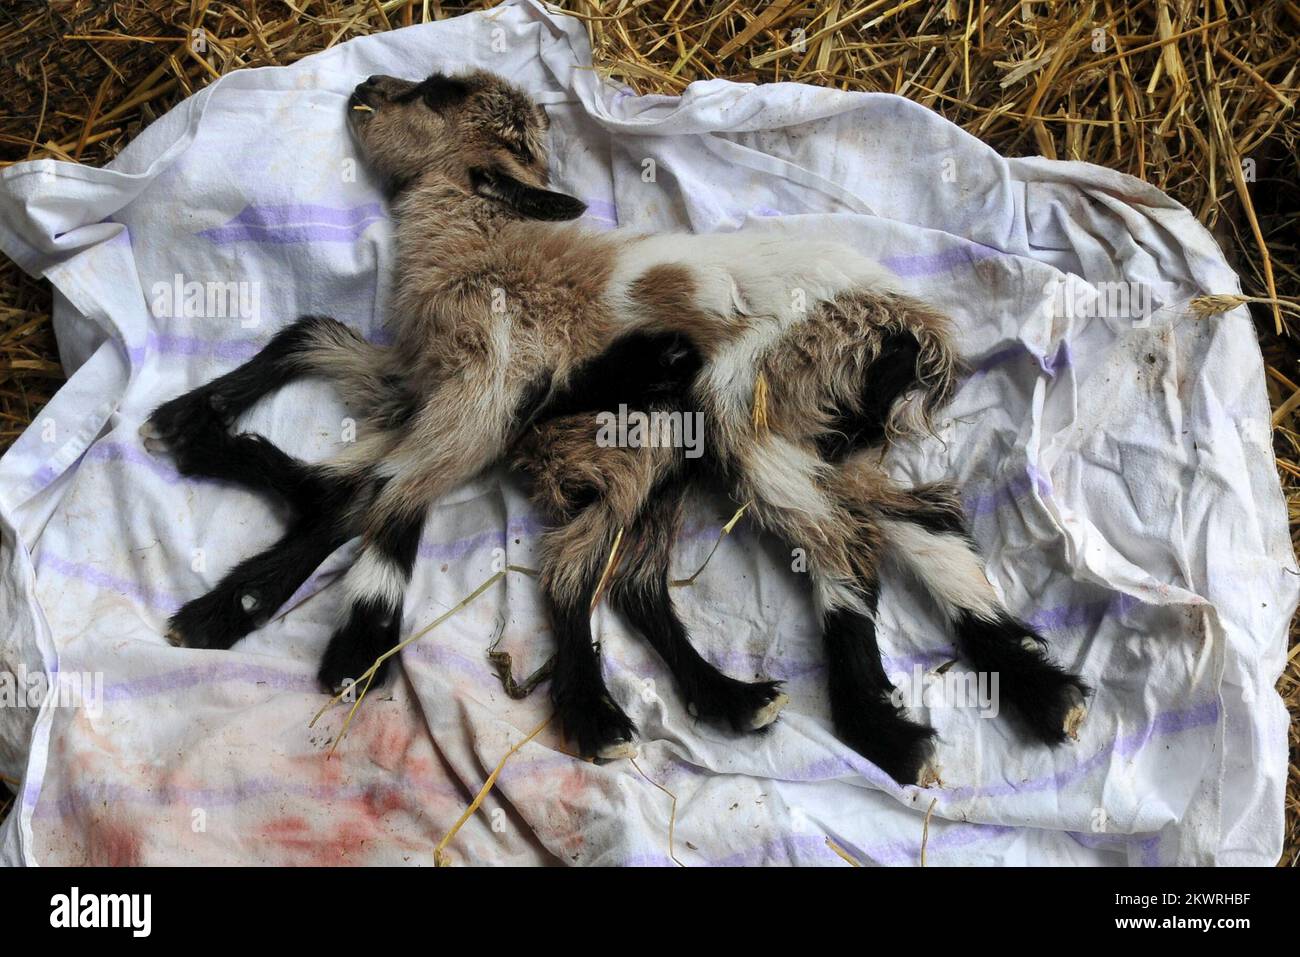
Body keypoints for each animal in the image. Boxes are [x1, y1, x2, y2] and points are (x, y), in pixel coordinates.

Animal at [142, 69, 1089, 784]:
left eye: (439, 92)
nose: (367, 88)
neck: (477, 235)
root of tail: (912, 329)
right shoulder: (419, 377)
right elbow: (315, 347)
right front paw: (190, 427)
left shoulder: (484, 380)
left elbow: (382, 493)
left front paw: (282, 621)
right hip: (787, 439)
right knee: (897, 524)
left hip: (751, 405)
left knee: (824, 550)